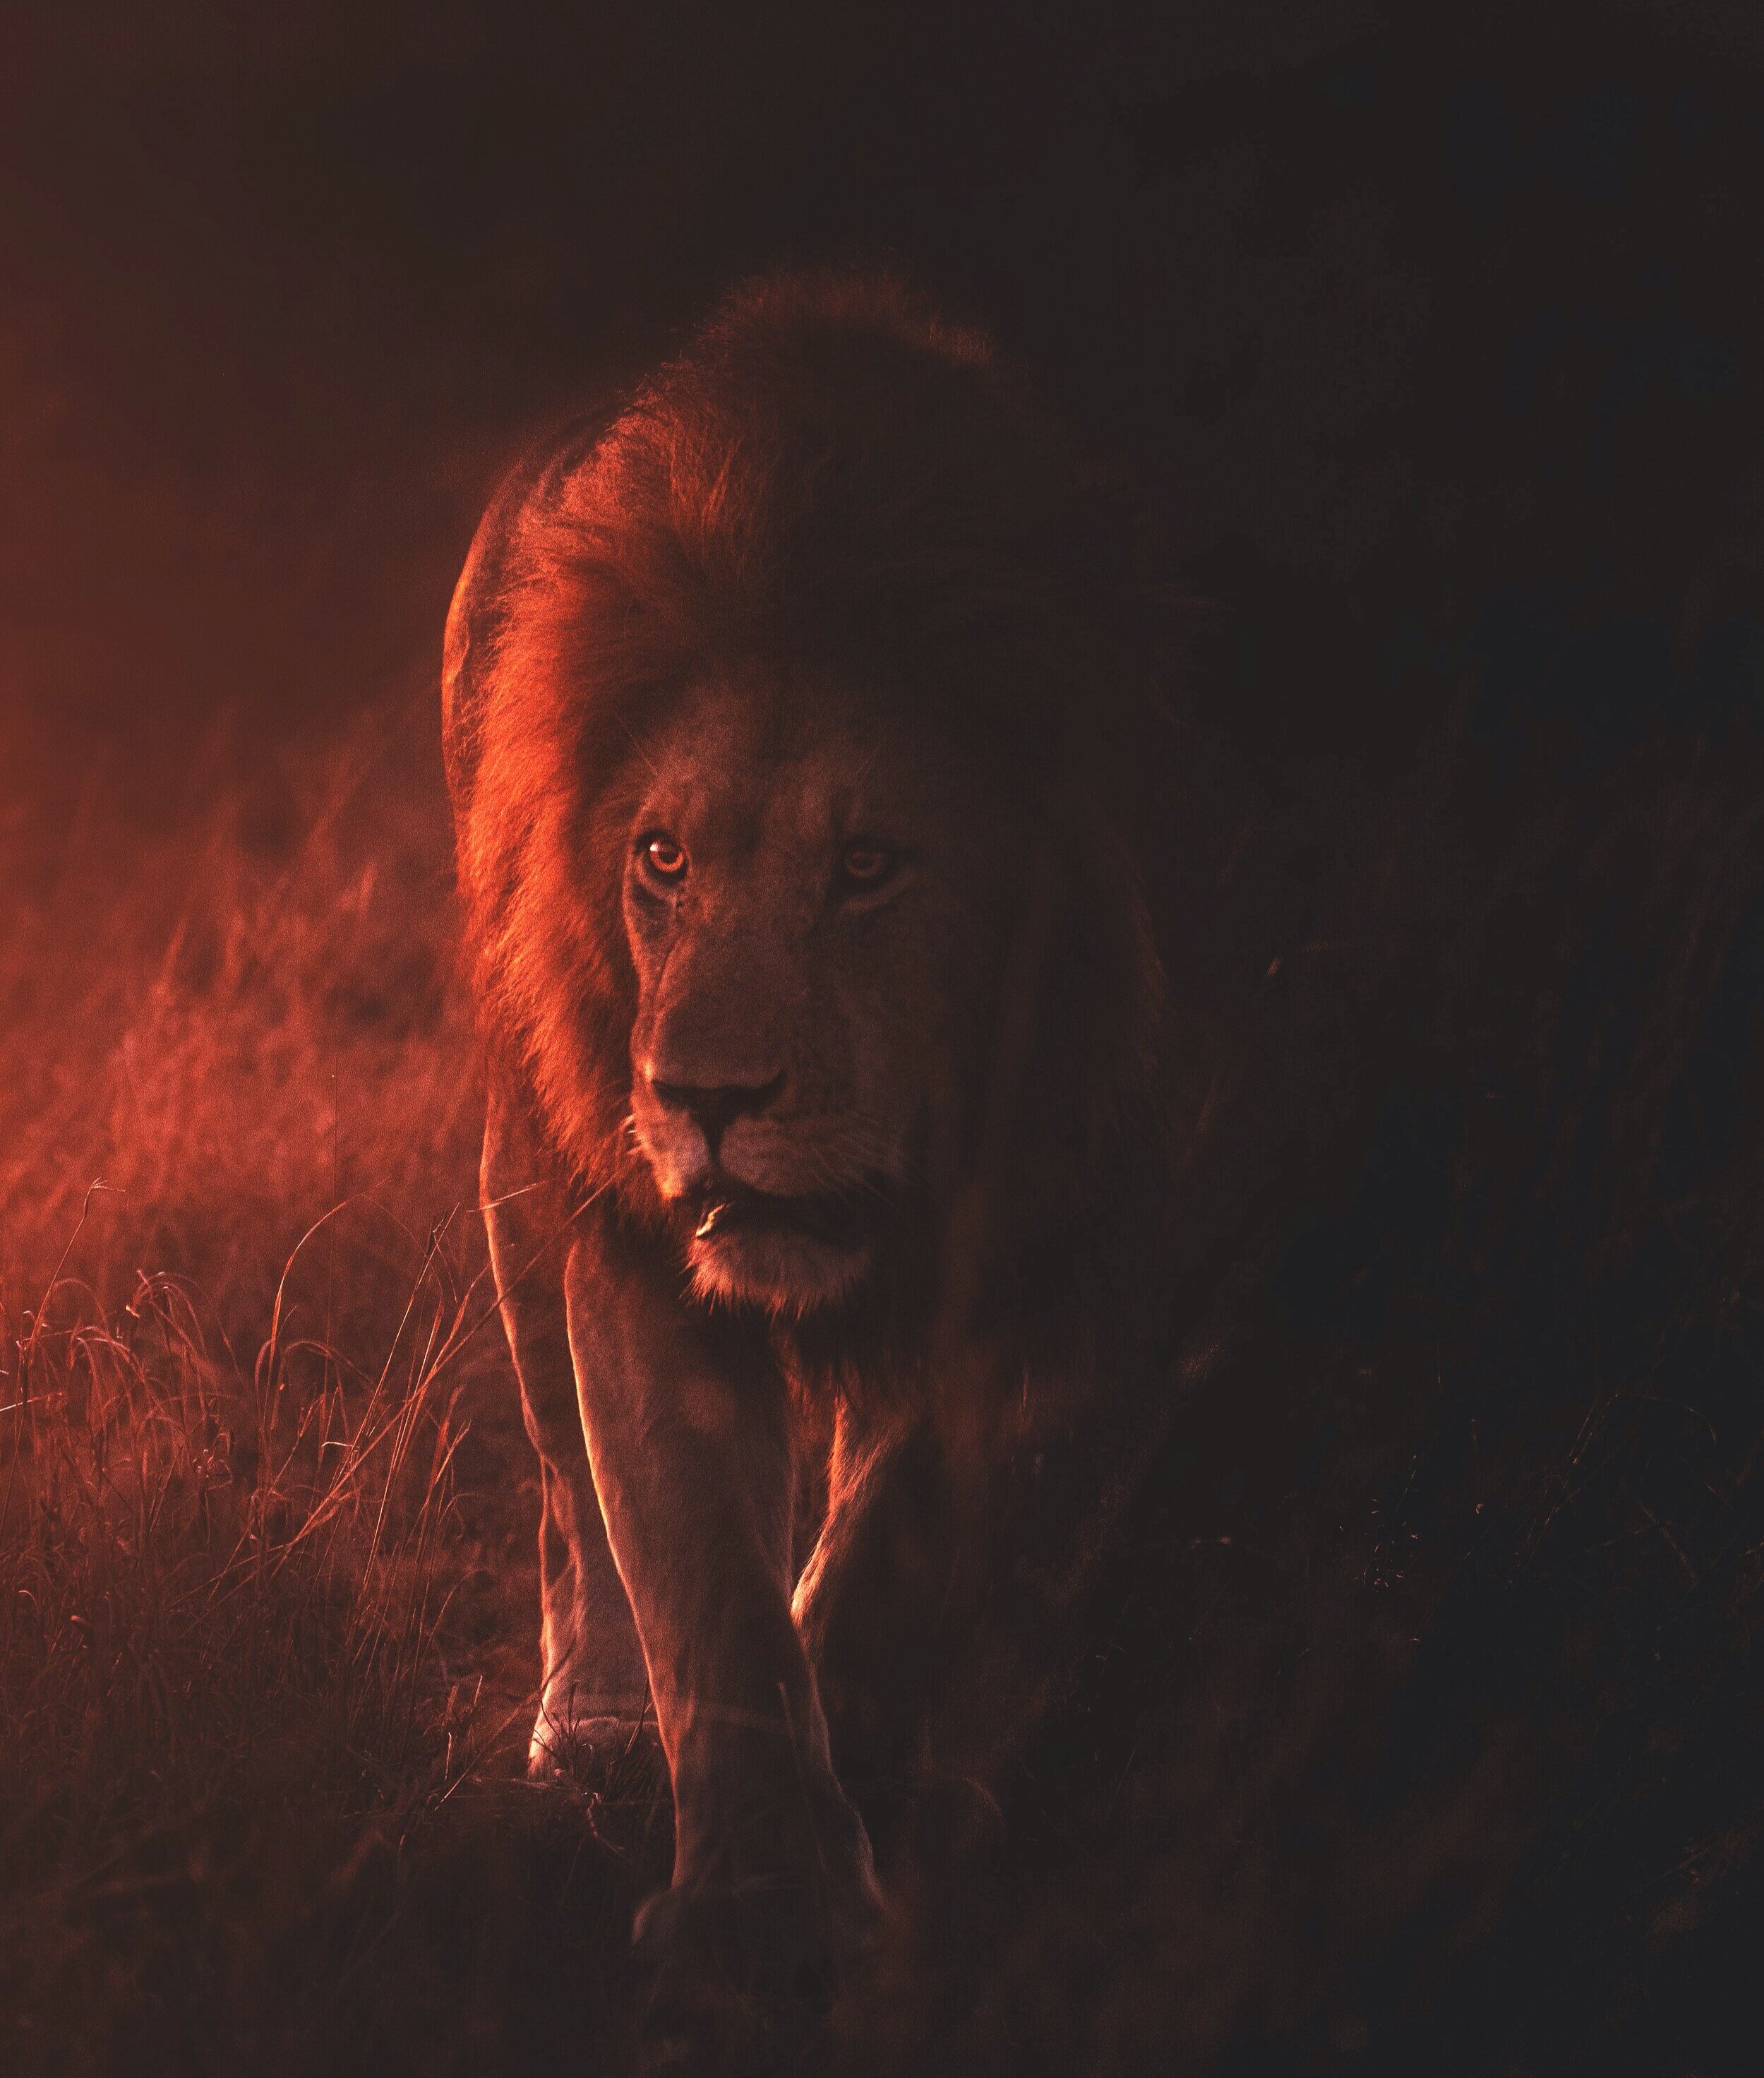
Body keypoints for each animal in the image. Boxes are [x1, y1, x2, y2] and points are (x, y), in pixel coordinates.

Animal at [442, 269, 1180, 2049]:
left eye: (867, 866)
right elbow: (700, 1574)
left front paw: (875, 1743)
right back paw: (595, 1728)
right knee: (569, 1493)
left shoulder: (1091, 1229)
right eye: (661, 856)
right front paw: (759, 1905)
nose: (702, 1093)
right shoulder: (640, 1250)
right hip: (528, 1178)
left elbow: (919, 1518)